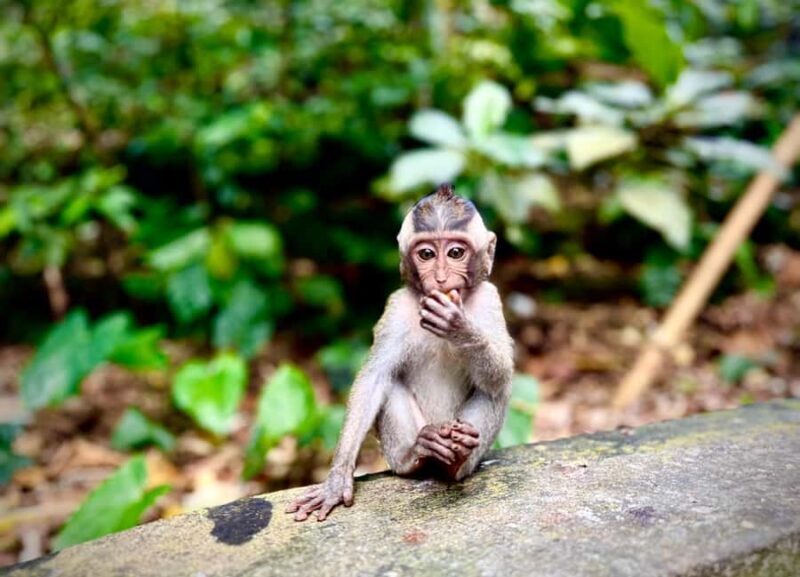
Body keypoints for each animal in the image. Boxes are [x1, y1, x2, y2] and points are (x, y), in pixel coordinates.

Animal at [286, 183, 514, 522]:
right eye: (427, 254)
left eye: (455, 253)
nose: (441, 277)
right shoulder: (395, 308)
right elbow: (373, 379)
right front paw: (337, 479)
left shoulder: (490, 298)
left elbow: (502, 375)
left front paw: (459, 328)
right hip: (397, 450)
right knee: (390, 385)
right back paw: (419, 452)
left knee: (495, 390)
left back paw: (457, 457)